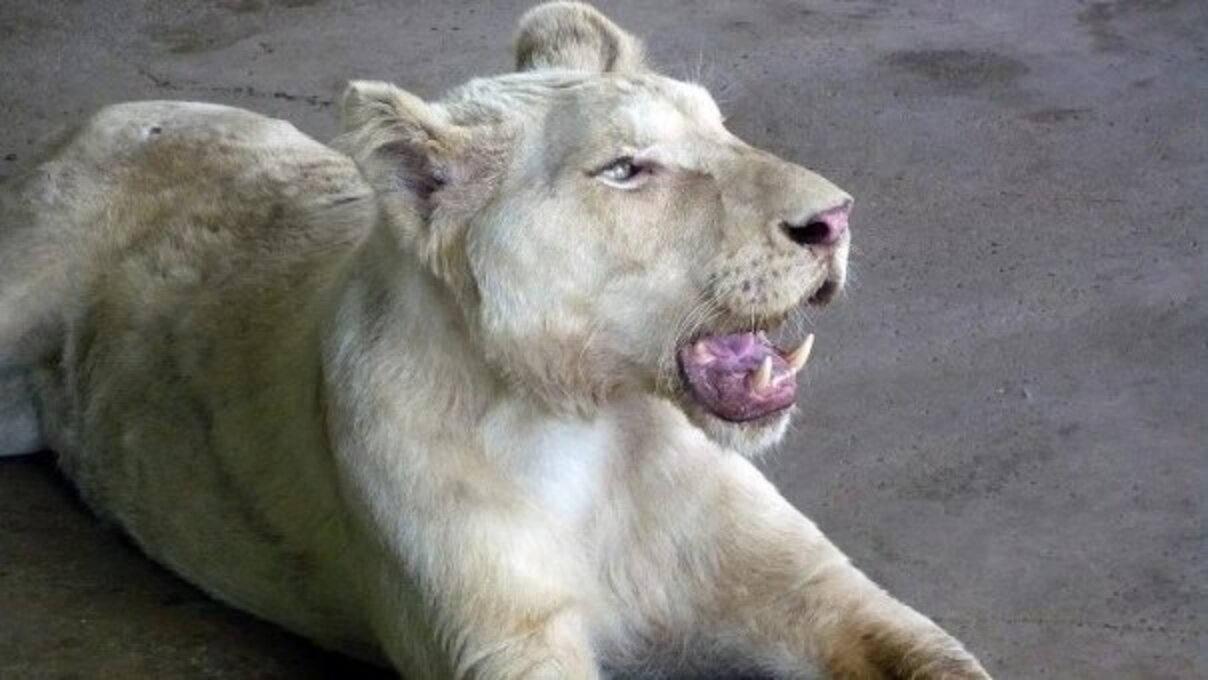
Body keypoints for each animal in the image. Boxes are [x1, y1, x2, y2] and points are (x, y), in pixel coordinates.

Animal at [0, 3, 990, 678]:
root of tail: (86, 121)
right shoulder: (503, 644)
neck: (592, 429)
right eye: (626, 169)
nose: (836, 217)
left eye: (718, 126)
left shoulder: (810, 590)